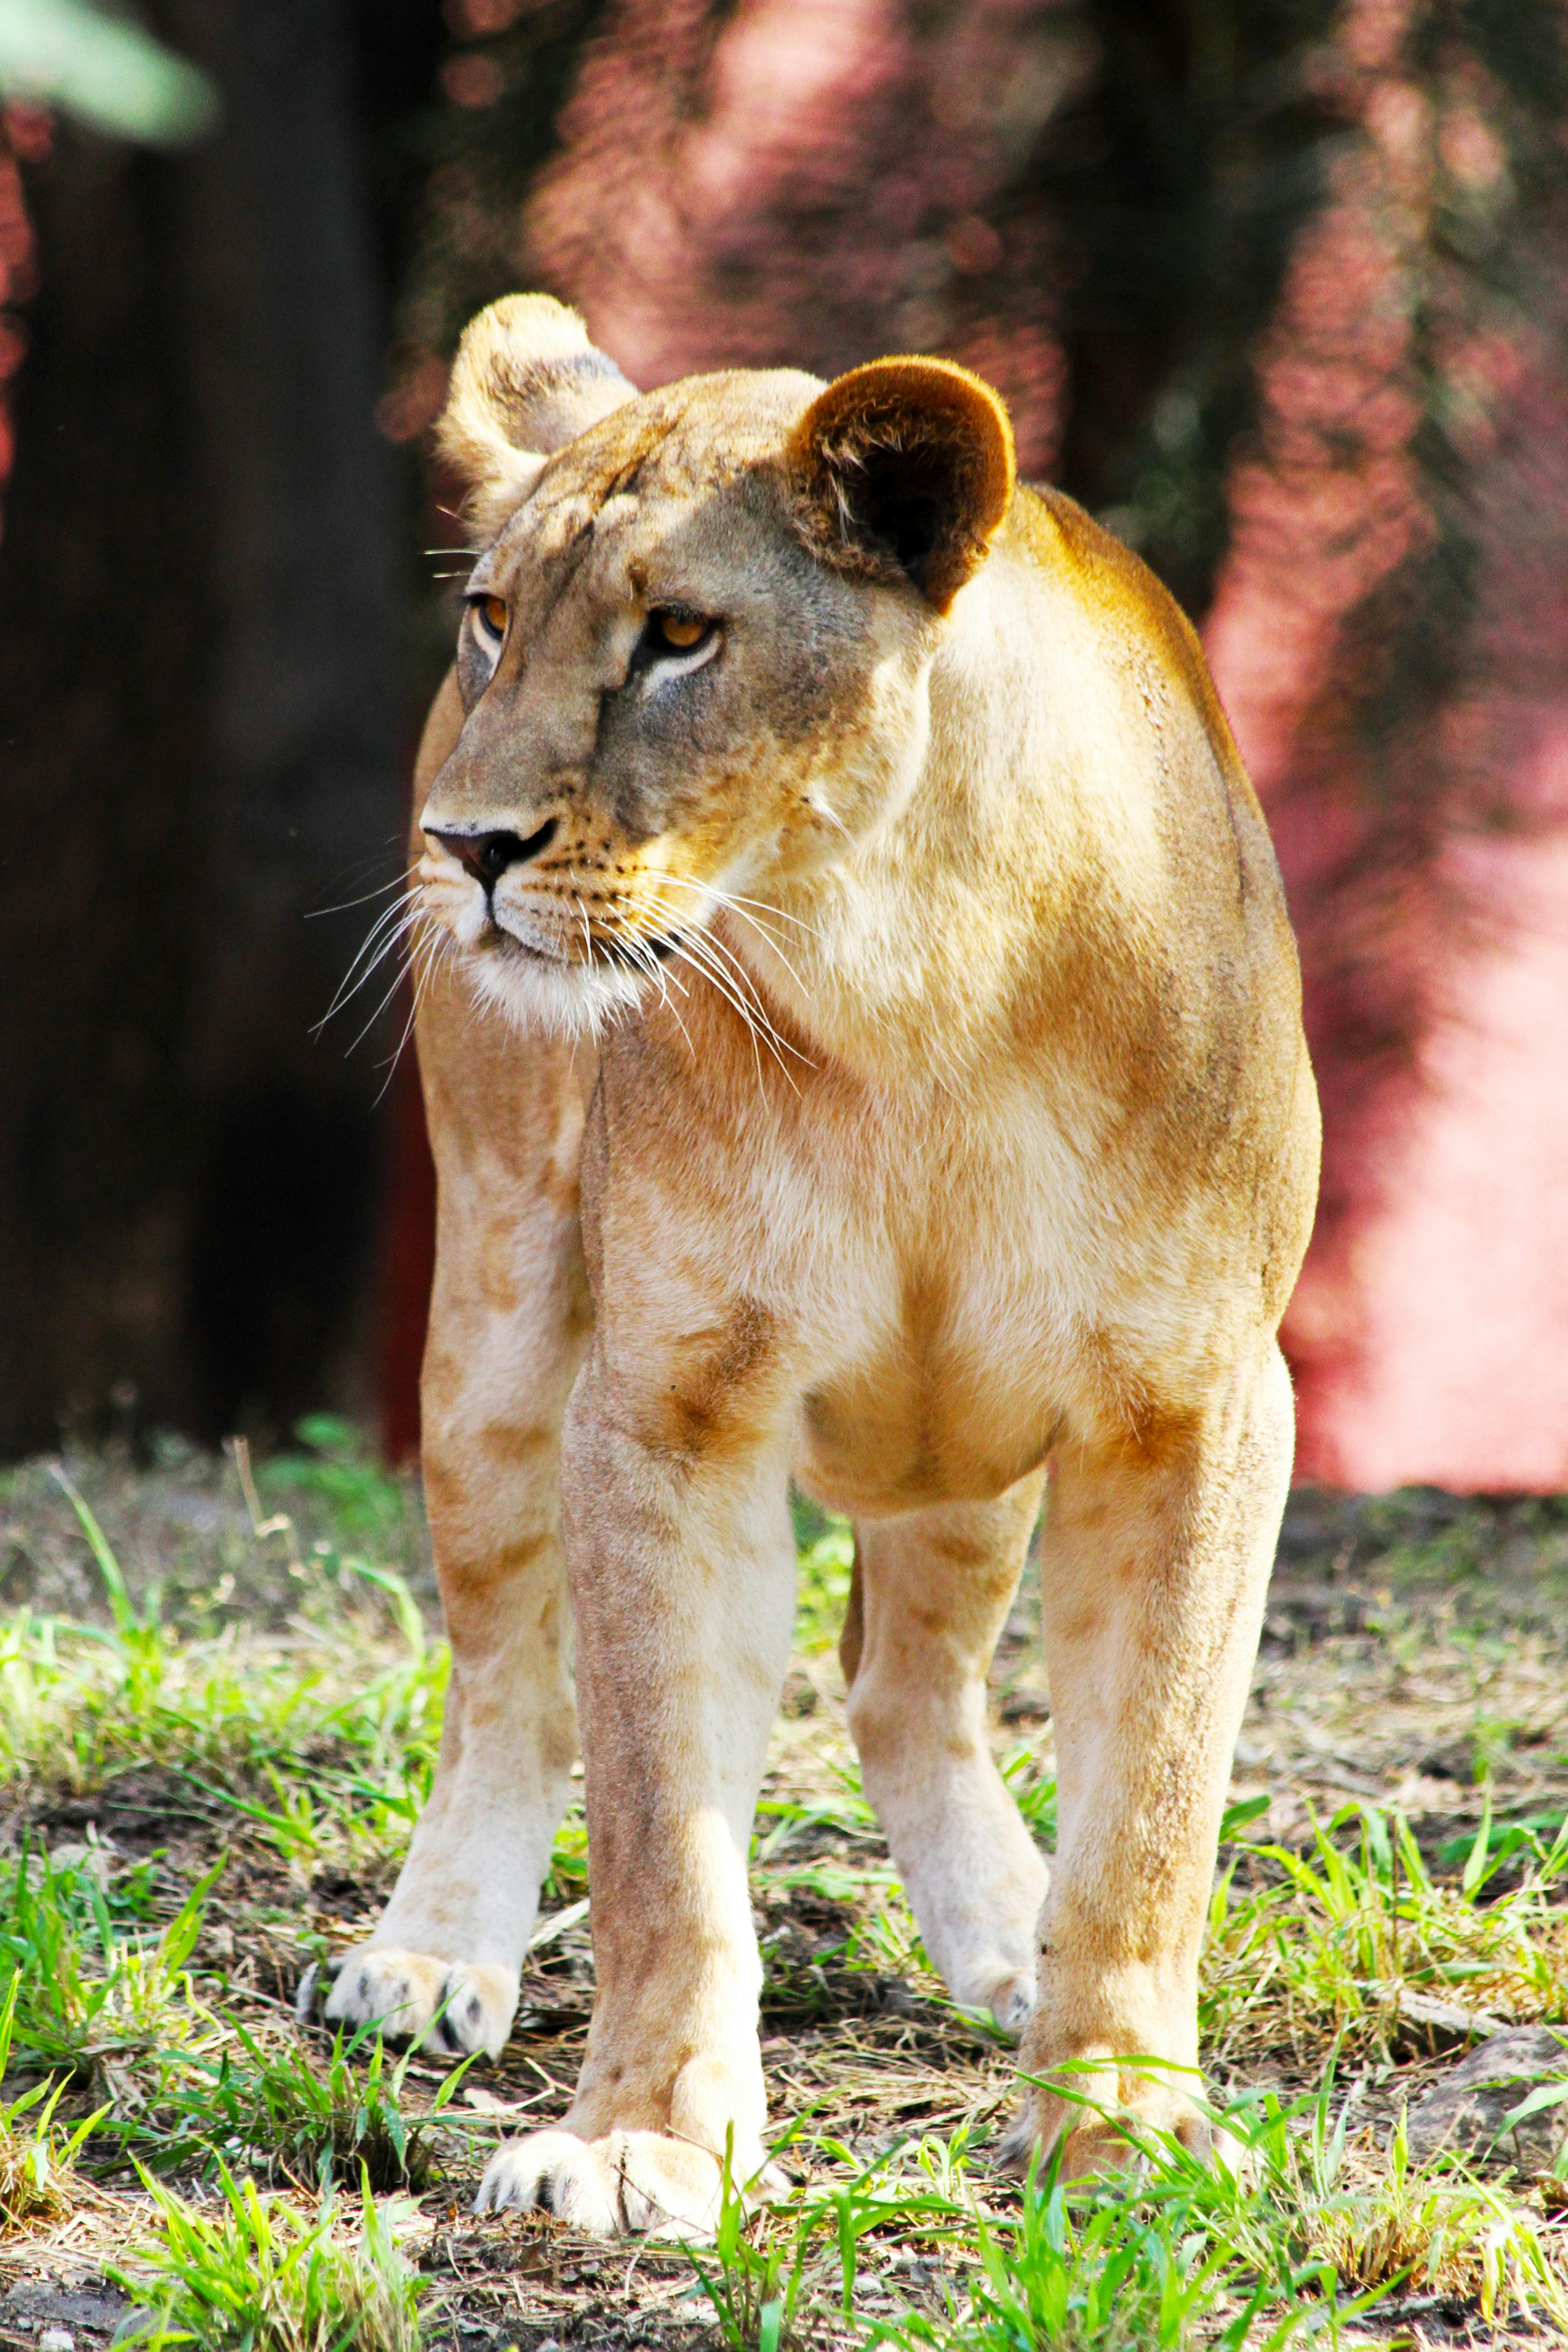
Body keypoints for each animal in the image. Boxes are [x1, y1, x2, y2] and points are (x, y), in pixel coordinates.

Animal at [320, 294, 1319, 2235]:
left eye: (680, 638)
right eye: (494, 620)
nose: (463, 848)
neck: (902, 972)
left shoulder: (1192, 1406)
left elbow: (1152, 1797)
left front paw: (1116, 2111)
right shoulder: (666, 1405)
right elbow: (658, 1826)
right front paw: (641, 2136)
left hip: (972, 1463)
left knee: (906, 1681)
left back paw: (1002, 1935)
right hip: (492, 1318)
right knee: (503, 1680)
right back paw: (430, 1954)